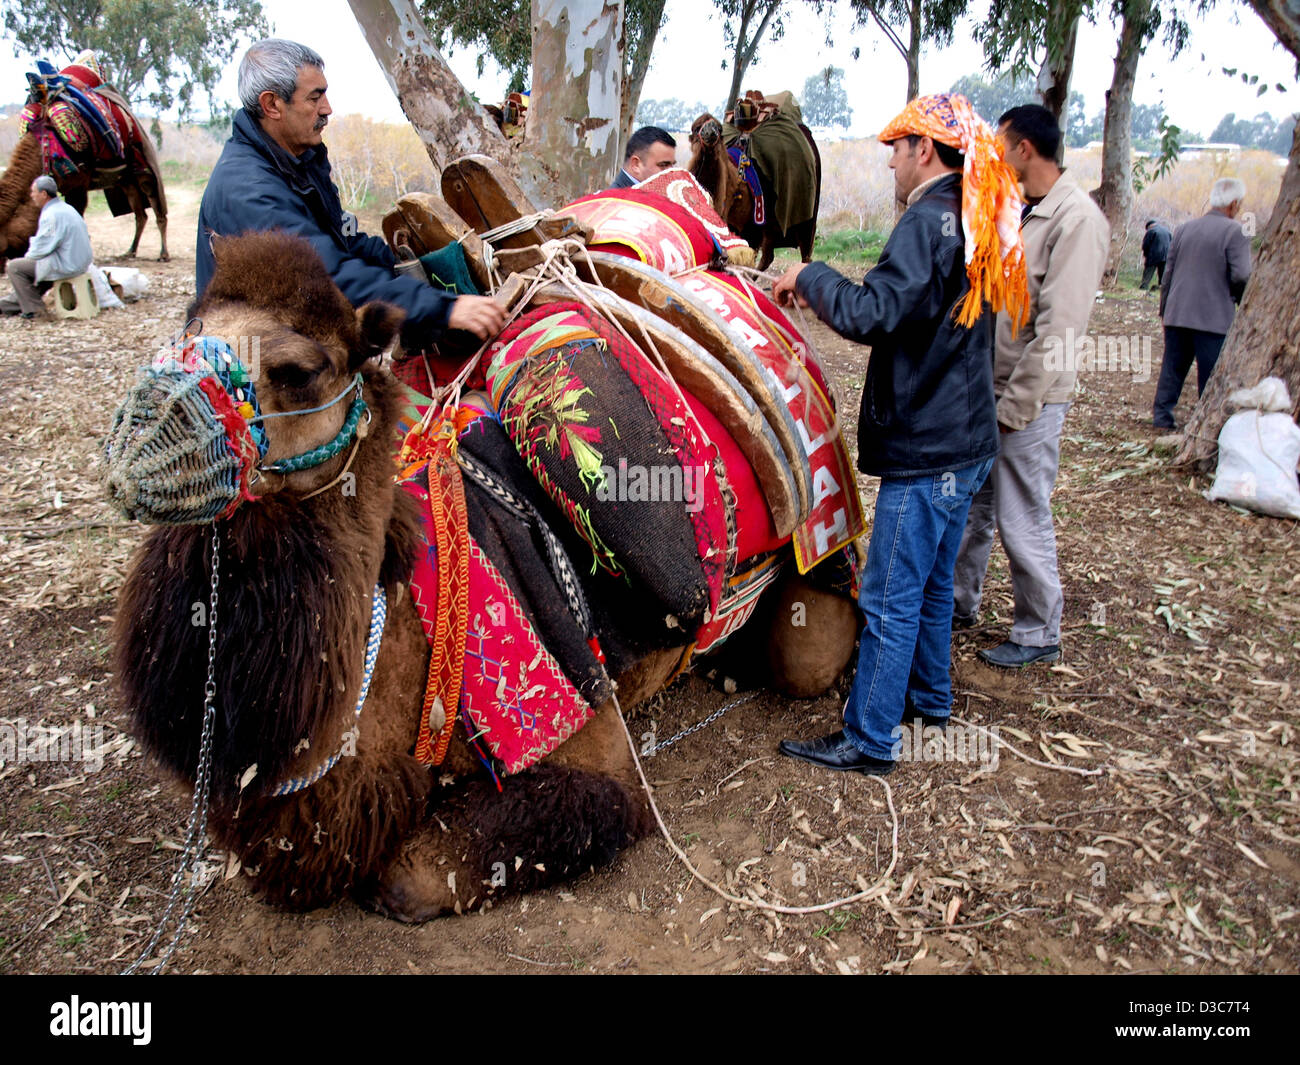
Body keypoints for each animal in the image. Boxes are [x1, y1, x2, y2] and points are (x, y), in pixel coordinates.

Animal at [109, 230, 857, 922]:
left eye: (298, 370)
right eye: (189, 332)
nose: (146, 426)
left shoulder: (591, 731)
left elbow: (407, 879)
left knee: (806, 655)